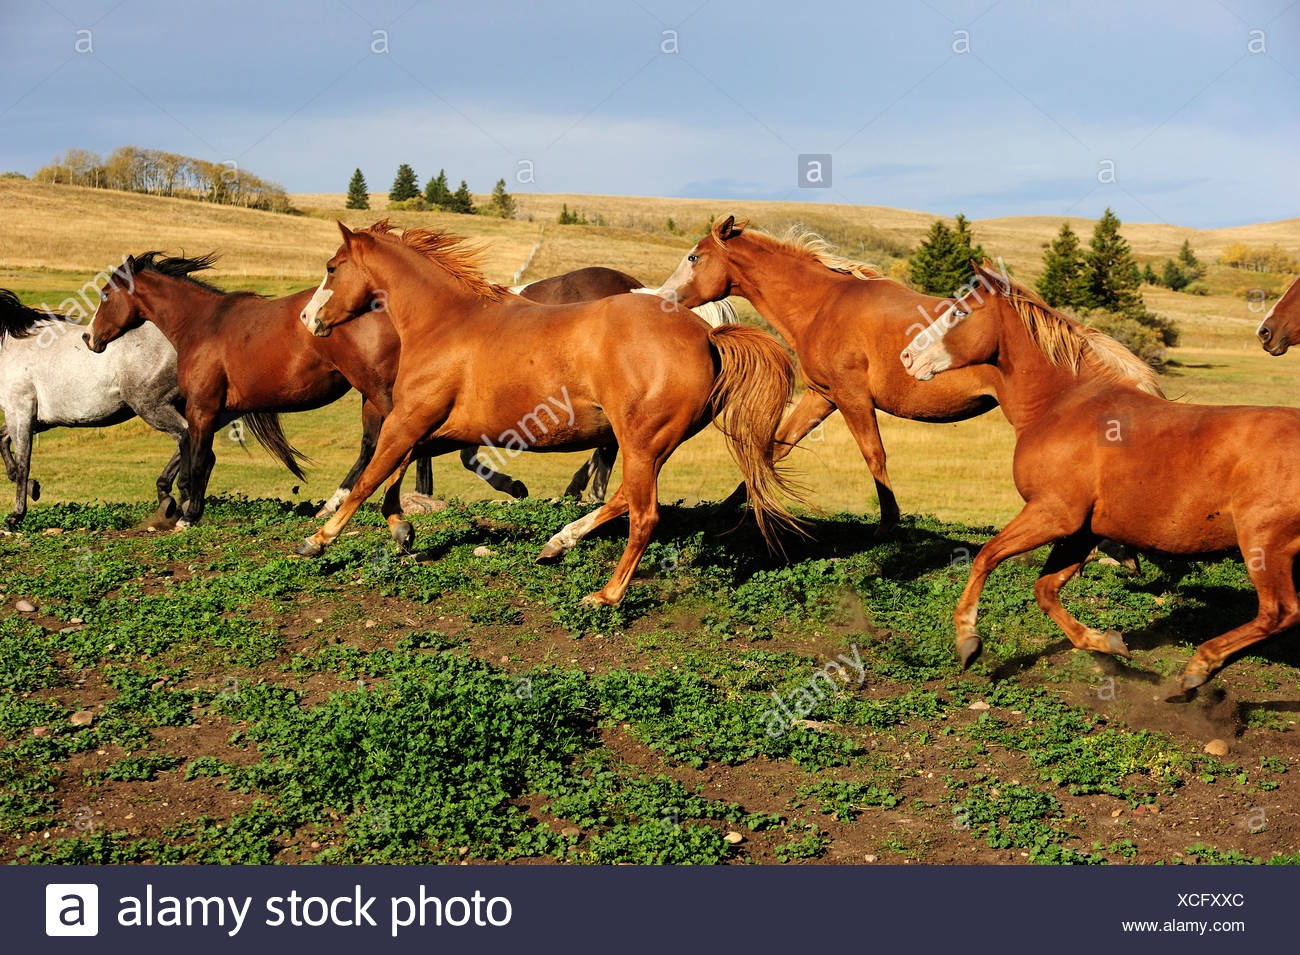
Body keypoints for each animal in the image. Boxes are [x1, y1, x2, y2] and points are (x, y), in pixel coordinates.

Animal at [0, 287, 190, 525]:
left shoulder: (20, 411)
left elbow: (23, 461)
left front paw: (16, 514)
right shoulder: (39, 419)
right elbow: (3, 442)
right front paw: (33, 488)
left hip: (151, 405)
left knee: (187, 436)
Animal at [295, 220, 799, 606]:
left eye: (332, 268)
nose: (306, 320)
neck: (447, 321)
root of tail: (706, 336)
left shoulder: (409, 419)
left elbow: (370, 475)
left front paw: (318, 540)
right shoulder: (431, 428)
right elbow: (393, 471)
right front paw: (401, 529)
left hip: (641, 442)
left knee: (643, 516)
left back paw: (605, 595)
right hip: (651, 446)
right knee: (621, 498)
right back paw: (557, 543)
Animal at [655, 216, 1000, 529]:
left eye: (694, 257)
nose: (662, 298)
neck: (823, 305)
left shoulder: (853, 399)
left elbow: (874, 454)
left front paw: (888, 524)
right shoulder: (823, 396)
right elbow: (775, 448)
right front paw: (725, 507)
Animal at [900, 262, 1300, 693]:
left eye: (959, 312)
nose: (907, 357)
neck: (1064, 405)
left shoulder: (1053, 514)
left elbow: (986, 557)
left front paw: (967, 640)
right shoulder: (1082, 529)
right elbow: (1045, 589)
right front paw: (1108, 643)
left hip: (1263, 544)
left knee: (1279, 612)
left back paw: (1200, 667)